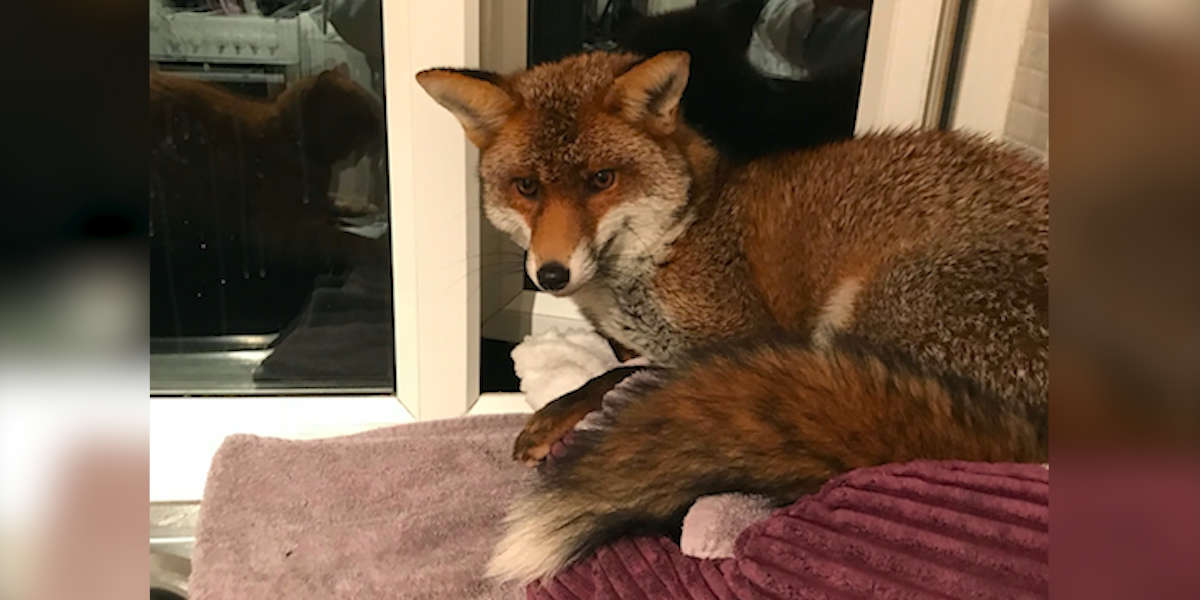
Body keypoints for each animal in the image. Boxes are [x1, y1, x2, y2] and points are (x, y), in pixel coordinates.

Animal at [415, 50, 1048, 582]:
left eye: (602, 180)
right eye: (526, 187)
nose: (550, 275)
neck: (679, 233)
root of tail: (1027, 440)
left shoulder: (740, 333)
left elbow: (616, 376)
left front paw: (551, 418)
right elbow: (616, 361)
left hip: (860, 311)